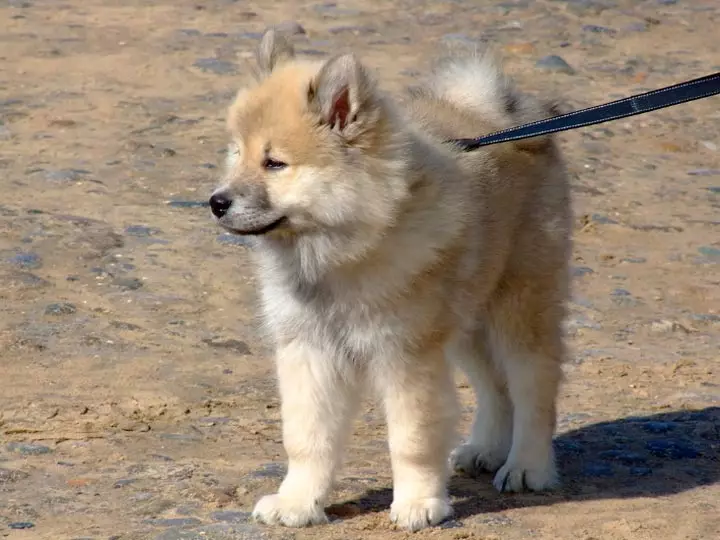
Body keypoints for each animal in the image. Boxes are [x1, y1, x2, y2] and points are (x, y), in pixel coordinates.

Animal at [211, 27, 572, 528]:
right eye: (236, 152)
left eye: (275, 164)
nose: (216, 202)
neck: (341, 251)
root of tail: (507, 114)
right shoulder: (308, 349)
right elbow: (306, 438)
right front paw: (297, 502)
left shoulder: (405, 354)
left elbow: (412, 439)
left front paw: (418, 504)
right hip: (468, 322)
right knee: (494, 387)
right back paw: (485, 449)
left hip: (518, 308)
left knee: (534, 388)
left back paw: (527, 467)